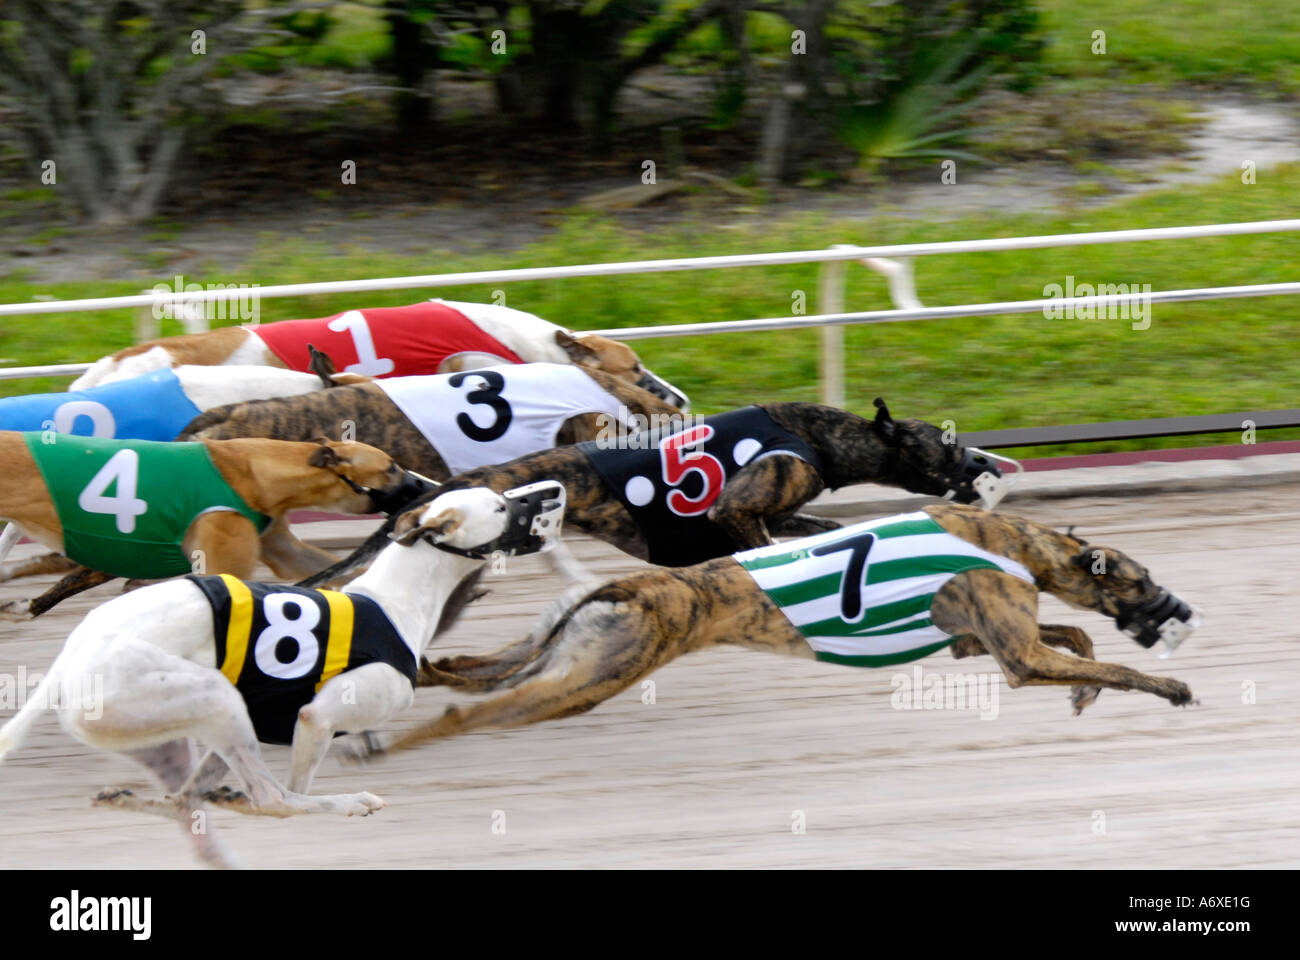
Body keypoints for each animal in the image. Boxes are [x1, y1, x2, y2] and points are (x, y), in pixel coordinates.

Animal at [0, 481, 566, 863]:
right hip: (209, 697)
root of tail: (72, 656)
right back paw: (350, 802)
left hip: (175, 728)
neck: (394, 601)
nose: (550, 493)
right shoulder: (318, 717)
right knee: (273, 799)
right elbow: (292, 786)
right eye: (500, 506)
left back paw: (132, 797)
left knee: (182, 800)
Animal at [374, 502, 1196, 754]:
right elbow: (1109, 661)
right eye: (1142, 580)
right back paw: (392, 741)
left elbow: (1077, 641)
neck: (1012, 540)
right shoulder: (1012, 652)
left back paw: (423, 680)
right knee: (472, 713)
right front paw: (1171, 687)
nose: (1183, 611)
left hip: (554, 651)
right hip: (593, 676)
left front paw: (1085, 694)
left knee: (461, 670)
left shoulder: (984, 640)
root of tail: (628, 585)